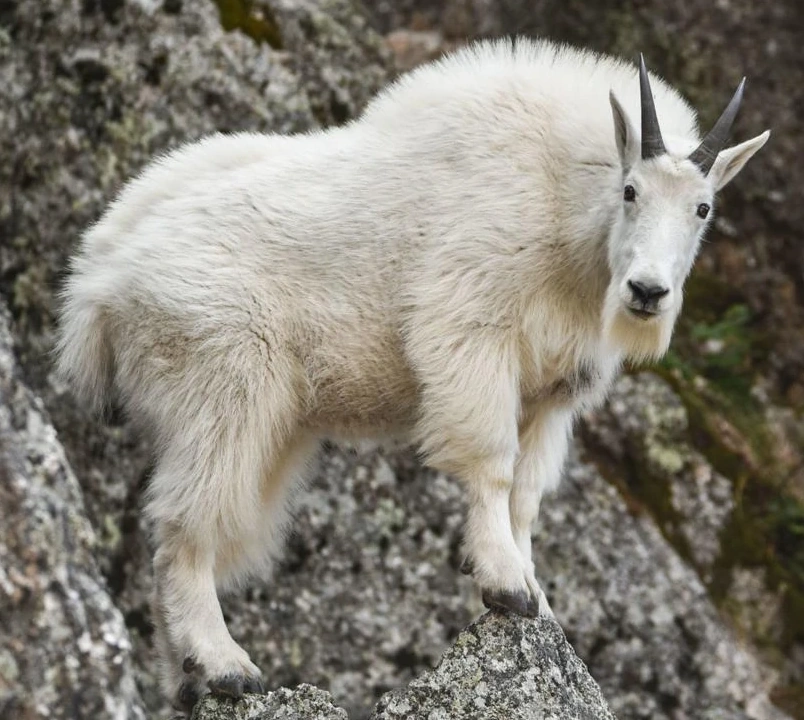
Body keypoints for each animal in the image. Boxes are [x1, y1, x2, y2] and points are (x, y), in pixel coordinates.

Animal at [56, 38, 769, 710]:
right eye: (630, 191)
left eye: (703, 209)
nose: (647, 293)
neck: (567, 216)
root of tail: (98, 282)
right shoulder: (473, 333)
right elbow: (492, 465)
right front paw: (504, 585)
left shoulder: (555, 392)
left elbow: (528, 497)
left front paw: (537, 594)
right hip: (222, 383)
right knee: (182, 527)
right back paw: (223, 665)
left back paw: (185, 681)